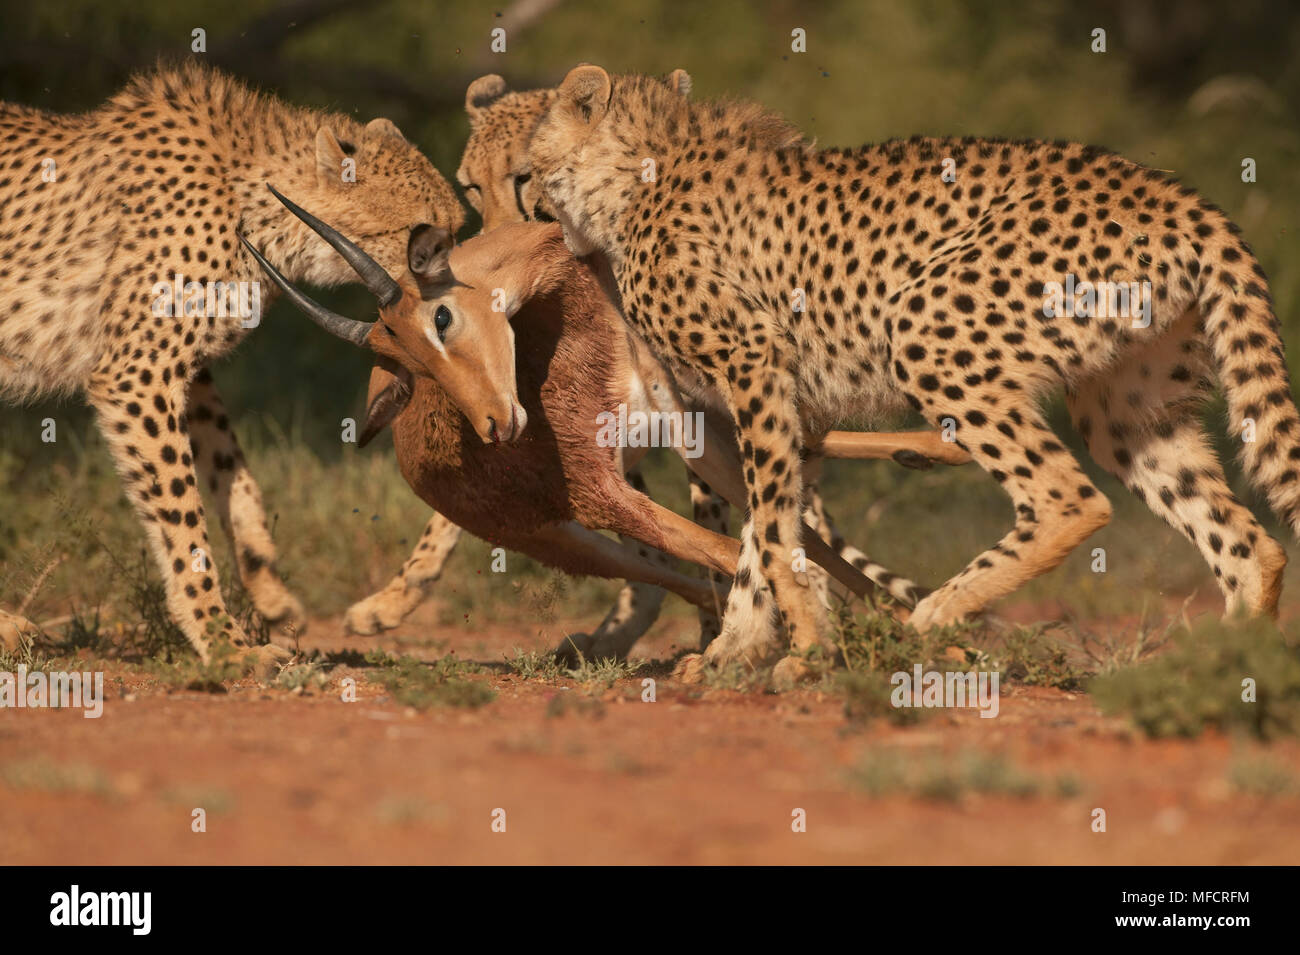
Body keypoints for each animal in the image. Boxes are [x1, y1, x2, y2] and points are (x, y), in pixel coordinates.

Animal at [0, 62, 463, 669]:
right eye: (423, 240)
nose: (460, 302)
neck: (254, 206)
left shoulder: (185, 371)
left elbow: (231, 473)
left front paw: (270, 594)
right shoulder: (137, 372)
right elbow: (182, 517)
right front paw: (224, 642)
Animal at [528, 64, 1298, 680]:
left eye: (529, 162)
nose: (527, 203)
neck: (639, 168)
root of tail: (1176, 195)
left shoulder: (754, 361)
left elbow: (772, 533)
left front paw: (800, 652)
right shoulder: (775, 399)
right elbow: (765, 527)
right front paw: (735, 652)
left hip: (927, 328)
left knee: (1068, 497)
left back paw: (932, 618)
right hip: (1128, 410)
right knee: (1248, 543)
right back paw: (1222, 669)